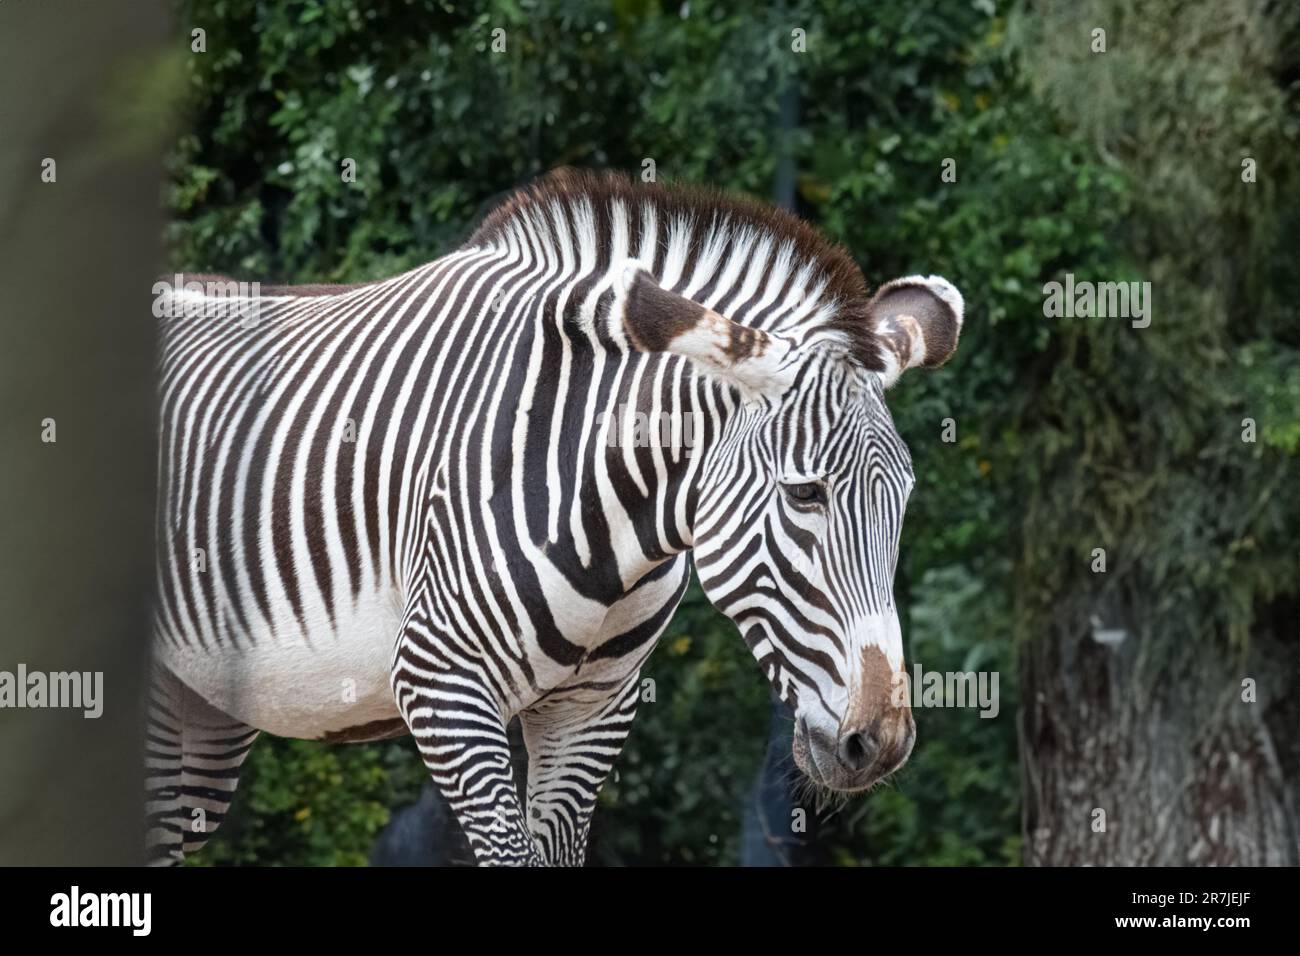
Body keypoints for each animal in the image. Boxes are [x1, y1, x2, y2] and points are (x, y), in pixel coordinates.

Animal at [146, 169, 964, 866]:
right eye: (805, 495)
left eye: (904, 498)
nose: (881, 742)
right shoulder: (441, 683)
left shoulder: (592, 707)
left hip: (201, 707)